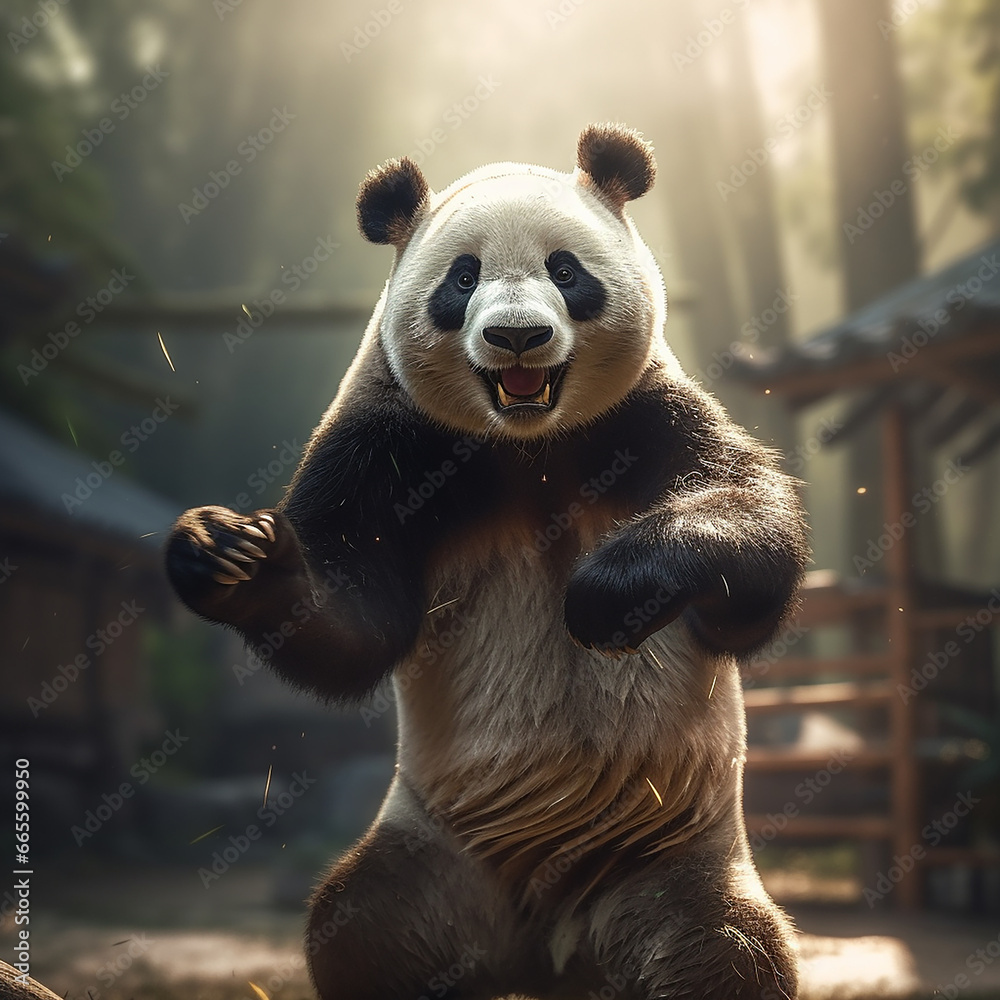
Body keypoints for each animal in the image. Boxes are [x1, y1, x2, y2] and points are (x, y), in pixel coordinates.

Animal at [166, 123, 808, 1000]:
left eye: (565, 271)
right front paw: (227, 550)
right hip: (440, 851)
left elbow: (747, 532)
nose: (516, 336)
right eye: (461, 278)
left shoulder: (648, 413)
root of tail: (547, 953)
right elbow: (356, 619)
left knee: (726, 952)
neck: (526, 442)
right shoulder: (391, 441)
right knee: (361, 930)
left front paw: (608, 596)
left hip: (665, 859)